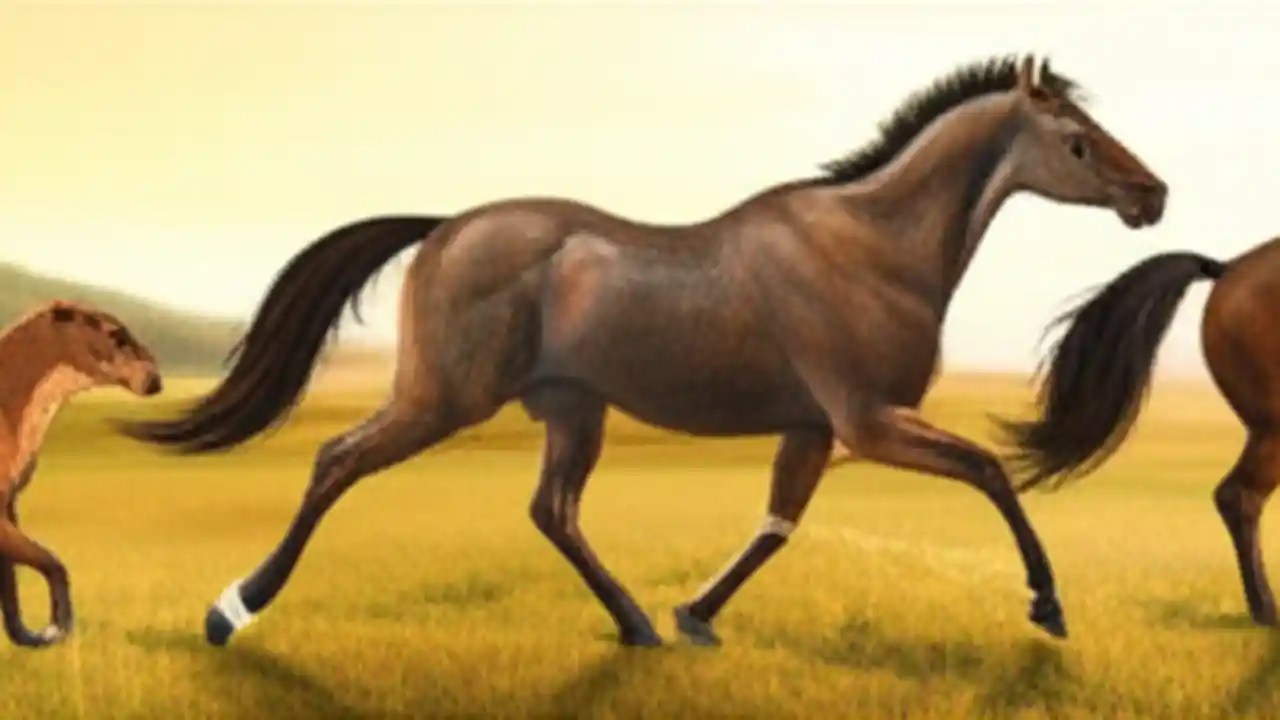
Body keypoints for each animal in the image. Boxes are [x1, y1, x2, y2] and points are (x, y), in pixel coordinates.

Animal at [0, 300, 163, 647]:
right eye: (116, 335)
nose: (156, 379)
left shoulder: (9, 505)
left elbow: (14, 591)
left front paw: (38, 634)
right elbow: (52, 564)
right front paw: (56, 628)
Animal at [121, 54, 1166, 649]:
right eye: (1077, 139)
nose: (1152, 194)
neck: (872, 246)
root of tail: (445, 227)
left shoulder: (813, 428)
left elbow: (777, 524)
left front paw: (694, 618)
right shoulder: (868, 421)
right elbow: (989, 471)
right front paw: (1048, 606)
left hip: (572, 409)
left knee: (553, 511)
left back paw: (634, 627)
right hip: (441, 400)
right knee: (338, 462)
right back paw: (232, 609)